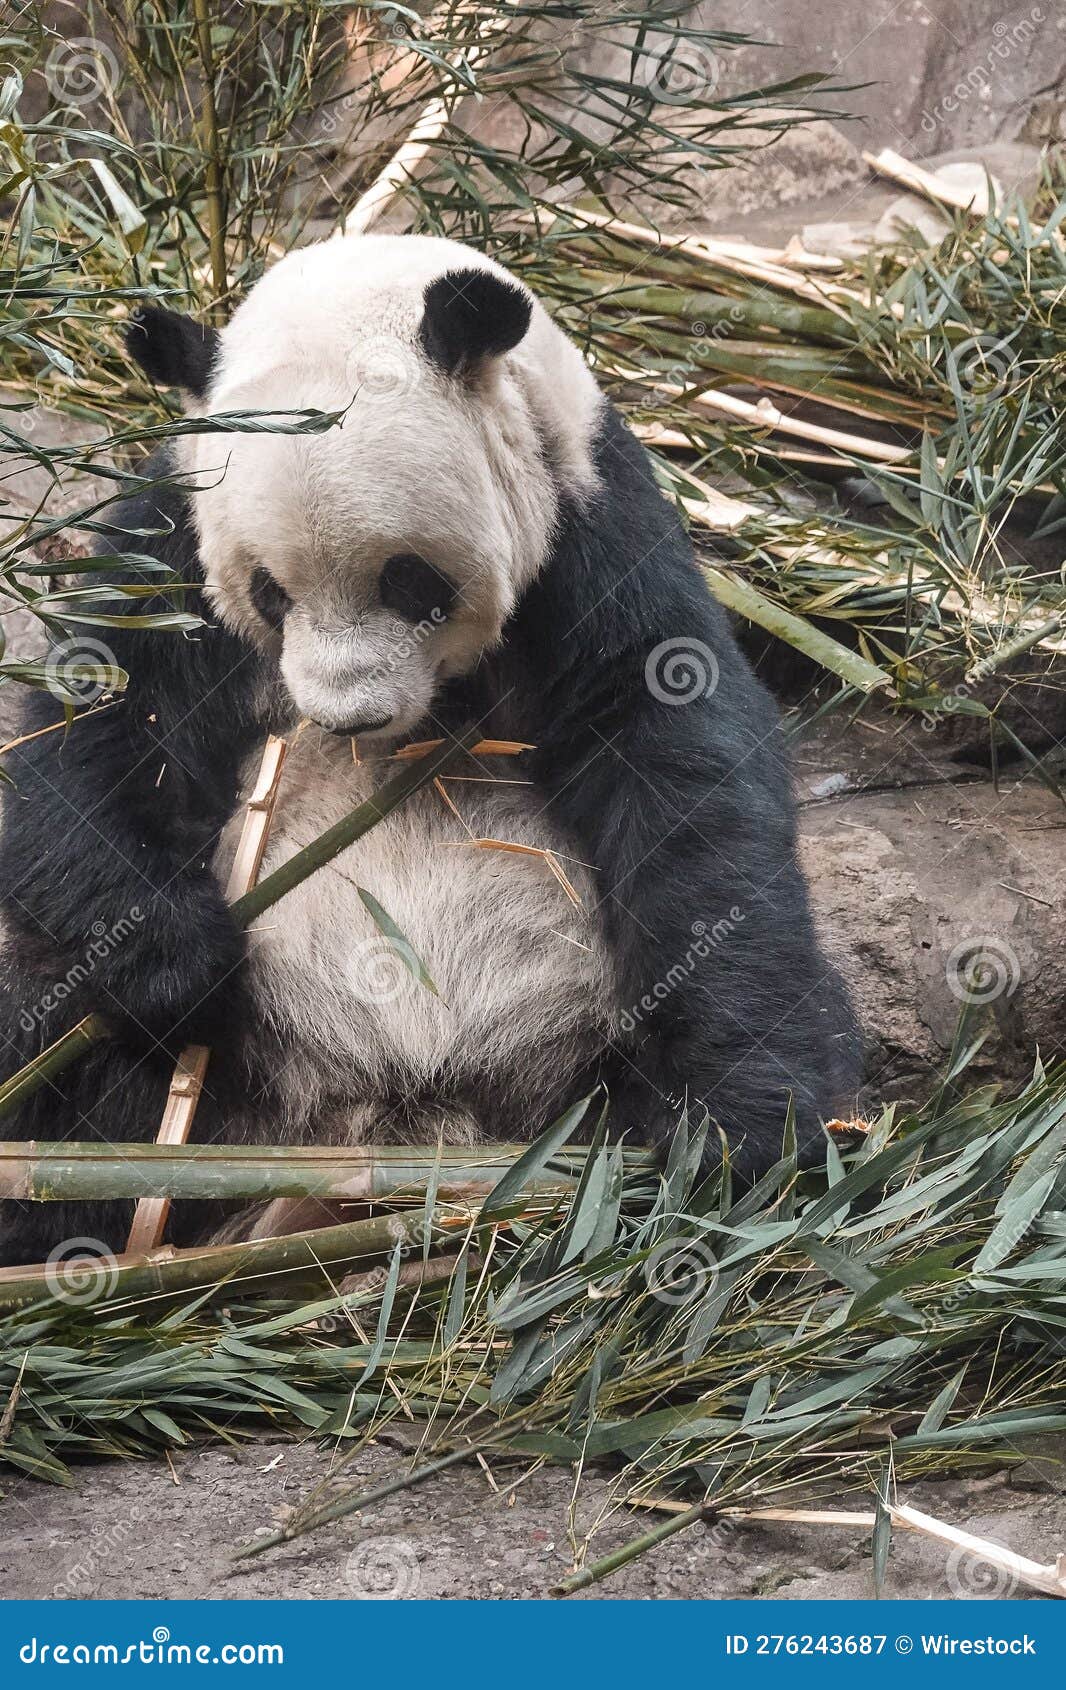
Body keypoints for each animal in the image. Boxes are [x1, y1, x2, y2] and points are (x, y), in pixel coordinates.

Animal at [0, 234, 859, 1264]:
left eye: (410, 581)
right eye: (270, 593)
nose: (349, 718)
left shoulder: (591, 520)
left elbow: (676, 751)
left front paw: (739, 1124)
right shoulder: (174, 524)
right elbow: (98, 722)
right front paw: (179, 953)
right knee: (50, 1065)